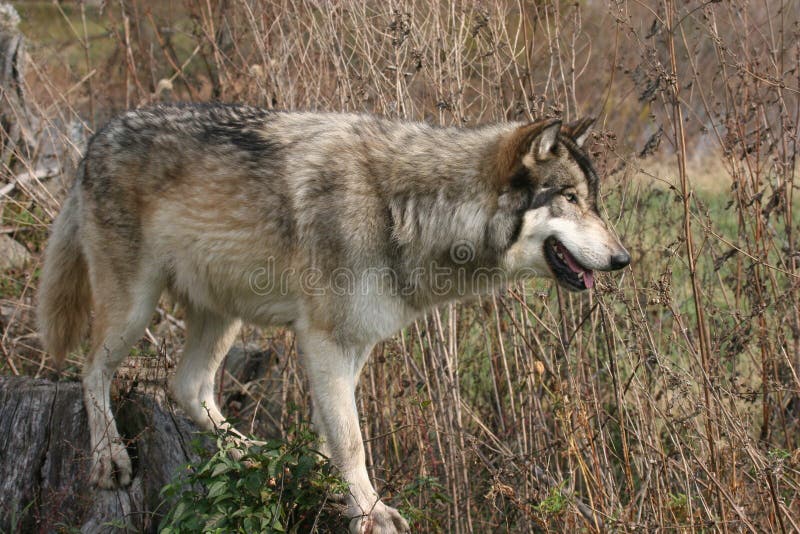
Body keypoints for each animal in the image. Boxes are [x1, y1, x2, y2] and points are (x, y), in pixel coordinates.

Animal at [37, 103, 629, 533]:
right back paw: (111, 460)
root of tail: (95, 138)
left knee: (185, 387)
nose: (623, 259)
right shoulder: (324, 339)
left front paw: (329, 489)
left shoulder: (356, 340)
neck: (409, 208)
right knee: (92, 371)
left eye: (594, 200)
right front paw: (370, 512)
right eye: (570, 198)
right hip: (133, 309)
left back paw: (253, 456)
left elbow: (331, 430)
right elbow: (351, 438)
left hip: (222, 316)